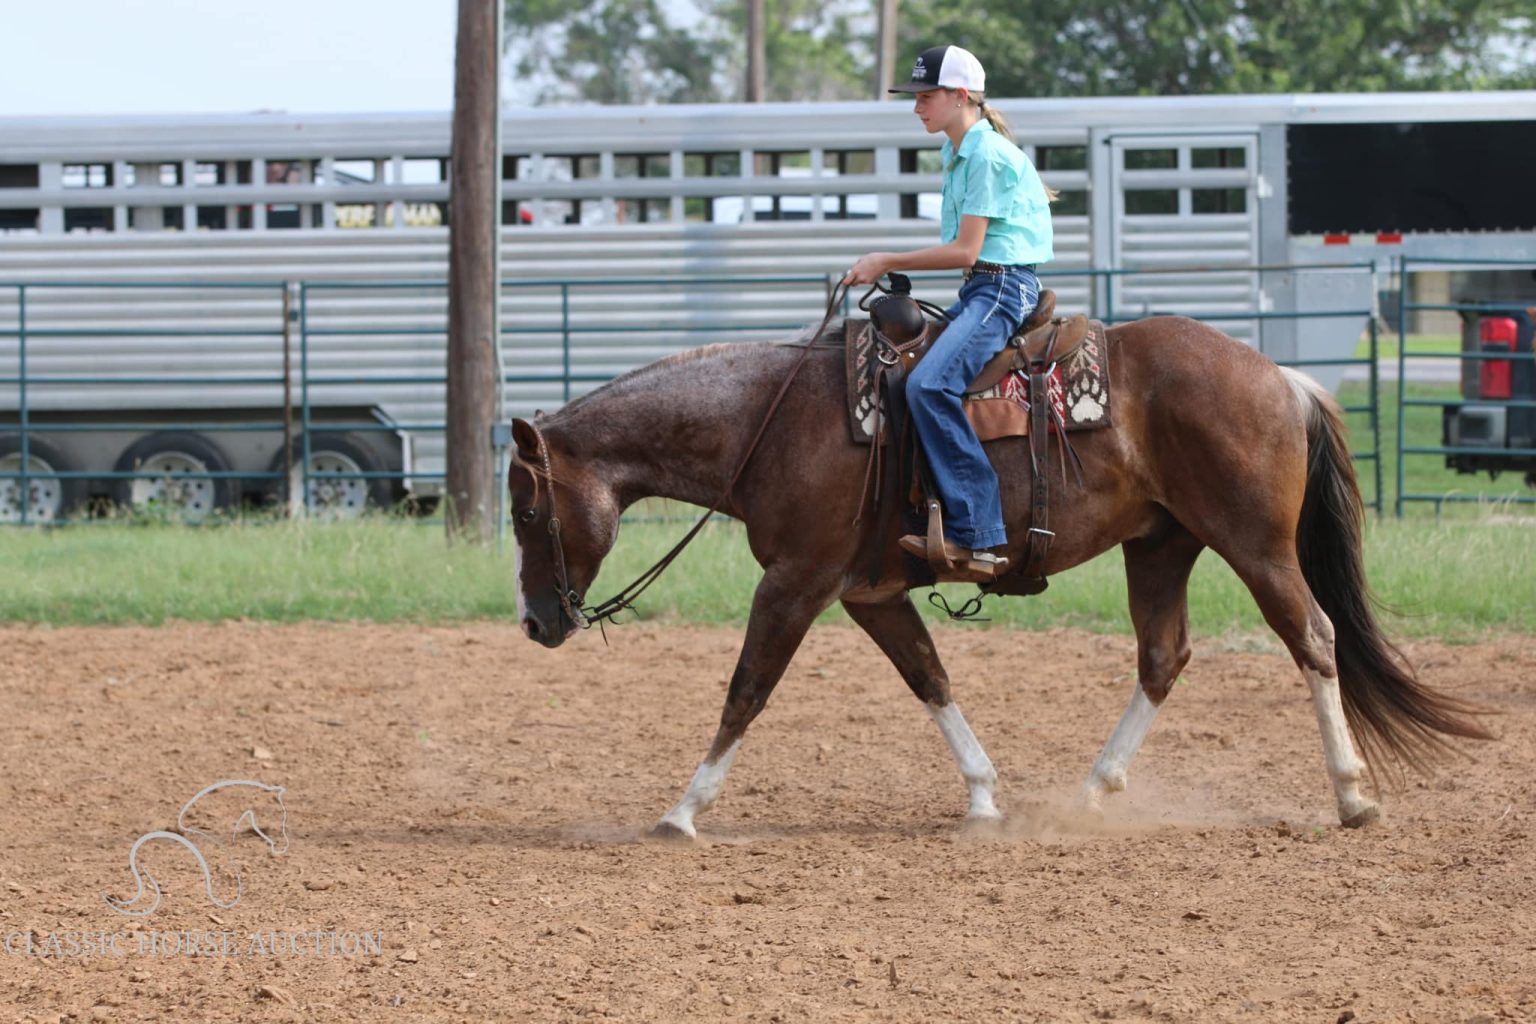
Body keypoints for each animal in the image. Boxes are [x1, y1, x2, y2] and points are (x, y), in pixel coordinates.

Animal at [506, 314, 1491, 840]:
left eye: (524, 511)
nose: (536, 625)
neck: (772, 422)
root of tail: (1283, 377)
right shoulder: (869, 593)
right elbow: (930, 679)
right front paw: (983, 797)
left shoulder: (794, 583)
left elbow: (746, 689)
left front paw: (682, 811)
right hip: (1160, 546)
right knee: (1163, 656)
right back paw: (1093, 791)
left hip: (1254, 544)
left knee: (1313, 638)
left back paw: (1352, 794)